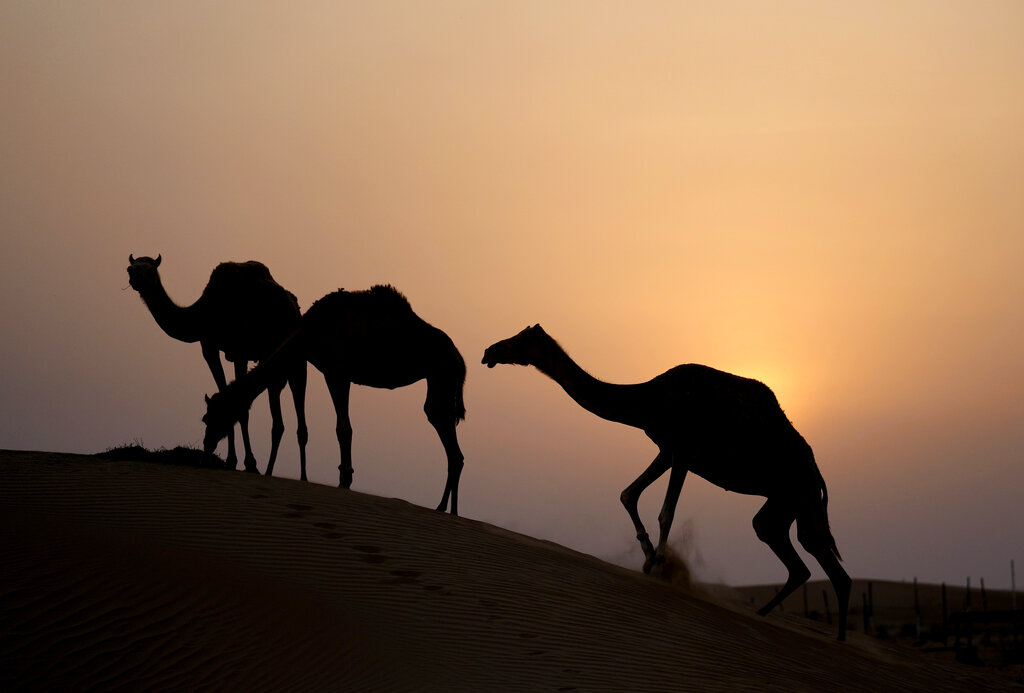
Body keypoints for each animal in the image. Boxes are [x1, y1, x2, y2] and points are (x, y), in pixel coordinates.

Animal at [127, 254, 308, 479]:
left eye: (151, 270)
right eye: (130, 269)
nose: (135, 280)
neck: (206, 313)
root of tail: (295, 307)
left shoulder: (240, 351)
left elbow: (242, 409)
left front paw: (251, 464)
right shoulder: (209, 347)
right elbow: (223, 391)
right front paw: (231, 461)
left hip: (296, 359)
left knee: (299, 409)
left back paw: (303, 476)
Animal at [202, 285, 467, 515]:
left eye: (210, 418)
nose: (207, 443)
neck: (308, 334)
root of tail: (460, 359)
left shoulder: (338, 372)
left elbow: (343, 428)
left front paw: (345, 479)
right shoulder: (332, 372)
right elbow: (342, 426)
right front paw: (344, 476)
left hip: (442, 374)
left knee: (441, 425)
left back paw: (445, 508)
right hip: (441, 379)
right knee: (452, 444)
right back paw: (448, 509)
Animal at [482, 324, 851, 640]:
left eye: (518, 339)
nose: (489, 351)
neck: (650, 399)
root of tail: (816, 469)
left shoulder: (683, 451)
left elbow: (666, 512)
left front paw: (660, 564)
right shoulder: (665, 449)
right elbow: (627, 494)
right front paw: (648, 557)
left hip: (801, 493)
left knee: (820, 558)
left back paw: (837, 640)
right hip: (787, 501)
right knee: (793, 547)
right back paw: (774, 619)